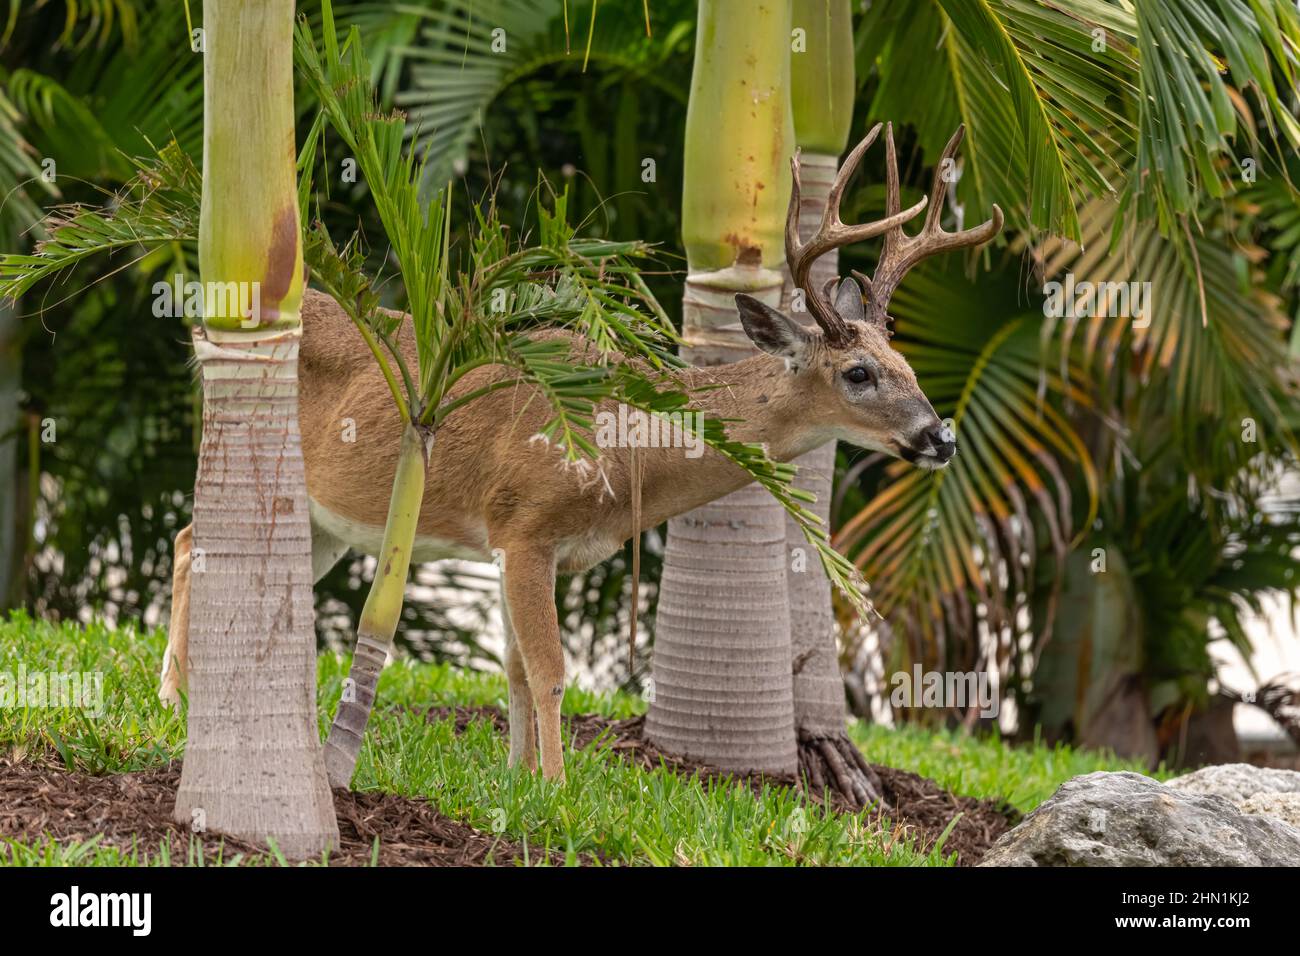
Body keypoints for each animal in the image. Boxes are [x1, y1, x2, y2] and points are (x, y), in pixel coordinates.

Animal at [160, 122, 1002, 783]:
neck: (625, 452)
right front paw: (557, 788)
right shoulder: (525, 525)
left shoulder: (531, 549)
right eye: (858, 373)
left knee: (197, 541)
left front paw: (519, 775)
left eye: (910, 367)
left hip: (331, 519)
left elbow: (515, 670)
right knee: (191, 537)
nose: (941, 436)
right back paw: (175, 700)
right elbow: (552, 671)